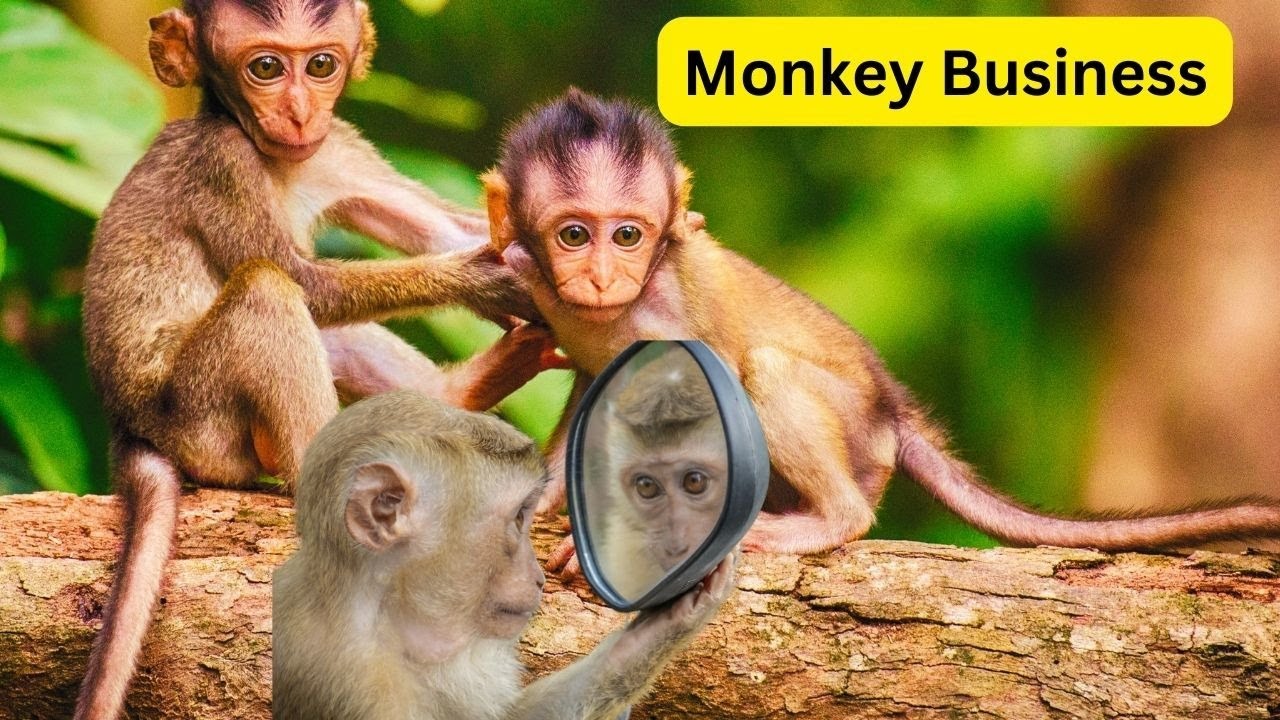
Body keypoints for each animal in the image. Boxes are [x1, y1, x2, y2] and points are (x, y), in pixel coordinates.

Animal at [75, 3, 560, 718]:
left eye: (322, 64)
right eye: (265, 67)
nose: (301, 113)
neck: (277, 159)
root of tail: (129, 427)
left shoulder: (339, 148)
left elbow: (444, 229)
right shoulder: (222, 164)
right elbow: (305, 281)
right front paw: (485, 279)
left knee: (325, 331)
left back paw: (466, 391)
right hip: (199, 421)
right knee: (268, 290)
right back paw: (324, 471)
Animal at [482, 88, 1280, 563]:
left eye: (627, 236)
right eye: (574, 236)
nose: (600, 277)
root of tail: (891, 410)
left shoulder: (675, 303)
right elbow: (591, 388)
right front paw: (544, 499)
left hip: (855, 433)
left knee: (765, 373)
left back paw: (830, 519)